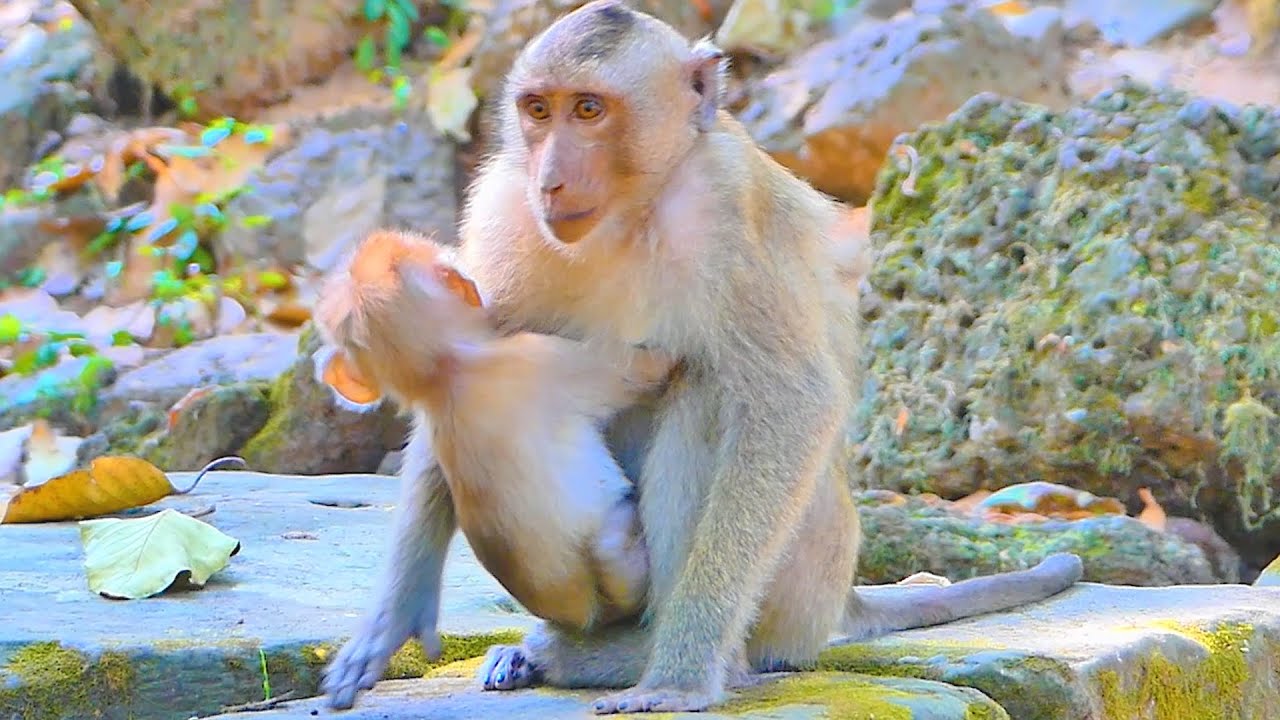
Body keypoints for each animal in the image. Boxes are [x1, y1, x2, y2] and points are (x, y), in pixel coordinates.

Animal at [313, 229, 674, 703]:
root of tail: (581, 615)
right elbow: (653, 367)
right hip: (617, 577)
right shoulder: (541, 358)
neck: (444, 374)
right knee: (615, 540)